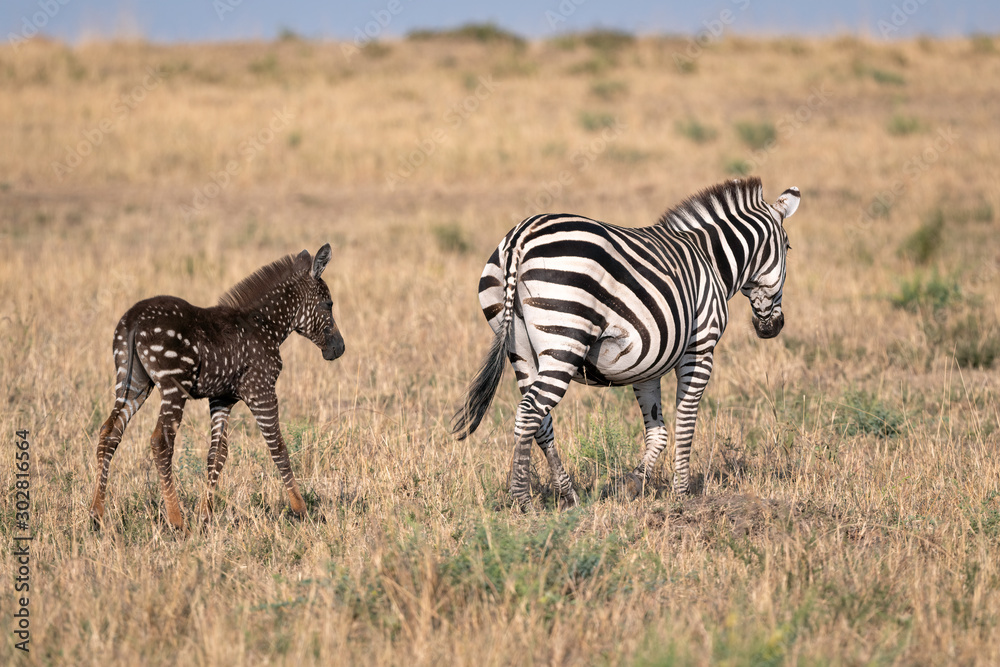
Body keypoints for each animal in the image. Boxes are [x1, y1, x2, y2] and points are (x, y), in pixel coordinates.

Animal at [89, 244, 345, 530]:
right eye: (329, 304)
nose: (339, 348)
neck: (265, 325)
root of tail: (133, 319)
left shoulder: (222, 398)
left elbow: (217, 454)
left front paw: (206, 515)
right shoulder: (261, 390)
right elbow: (278, 447)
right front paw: (300, 510)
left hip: (133, 382)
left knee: (109, 432)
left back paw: (96, 514)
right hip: (173, 386)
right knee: (161, 441)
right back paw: (176, 521)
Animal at [452, 177, 799, 510]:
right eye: (788, 246)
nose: (775, 327)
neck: (710, 259)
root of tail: (520, 237)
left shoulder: (648, 364)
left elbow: (658, 431)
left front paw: (631, 484)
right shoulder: (700, 349)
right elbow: (686, 419)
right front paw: (682, 493)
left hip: (519, 347)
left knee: (541, 419)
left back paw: (568, 495)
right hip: (564, 339)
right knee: (529, 412)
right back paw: (522, 499)